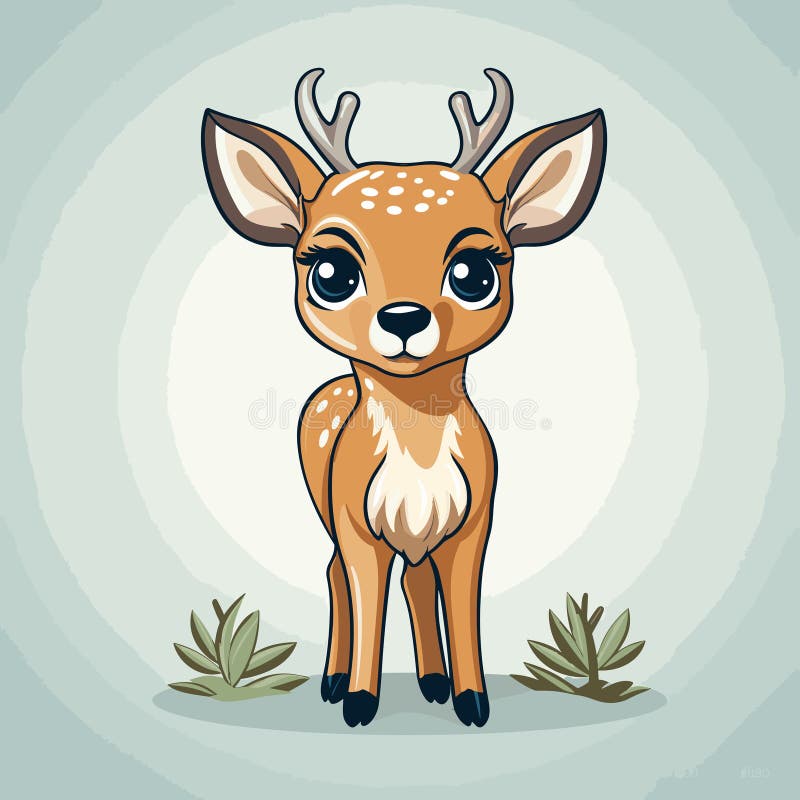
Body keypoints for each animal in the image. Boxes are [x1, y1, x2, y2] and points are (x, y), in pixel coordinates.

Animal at [201, 68, 606, 727]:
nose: (404, 319)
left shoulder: (475, 522)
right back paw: (334, 681)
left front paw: (472, 701)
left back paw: (433, 684)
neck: (418, 453)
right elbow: (365, 594)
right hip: (324, 505)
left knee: (414, 580)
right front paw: (359, 702)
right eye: (331, 272)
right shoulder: (354, 521)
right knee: (334, 571)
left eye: (474, 271)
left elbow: (459, 605)